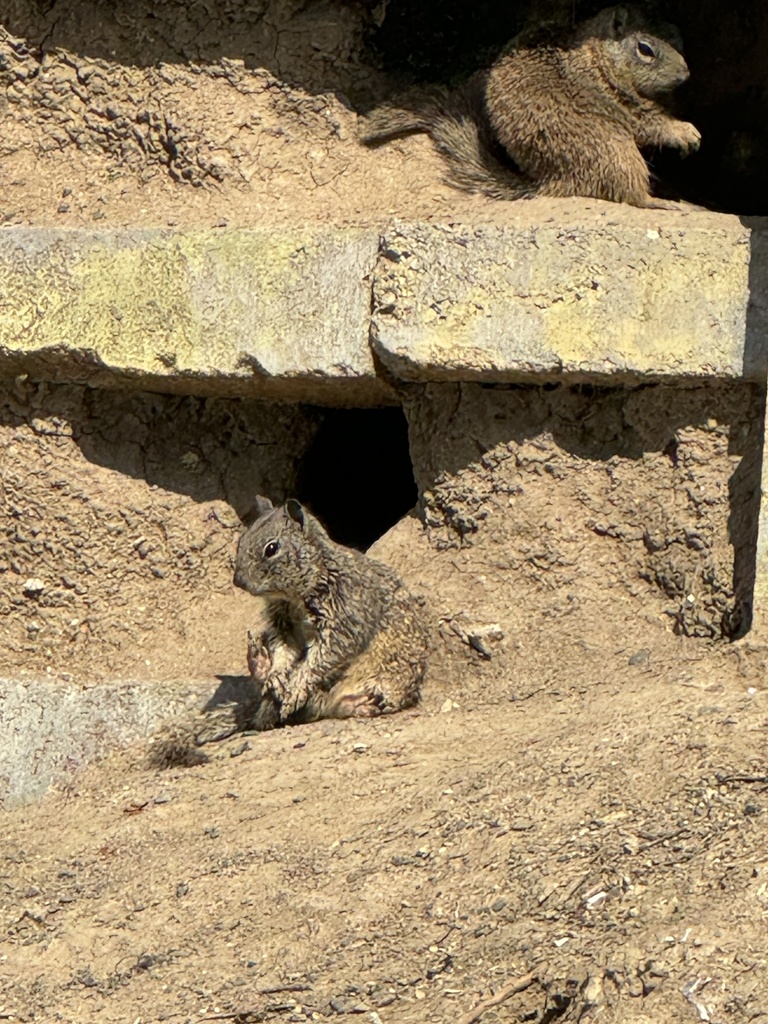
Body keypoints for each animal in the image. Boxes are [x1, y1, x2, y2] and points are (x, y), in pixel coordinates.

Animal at [359, 5, 701, 209]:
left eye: (678, 36)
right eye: (645, 49)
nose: (686, 74)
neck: (595, 57)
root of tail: (550, 183)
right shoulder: (618, 101)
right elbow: (649, 122)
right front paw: (686, 132)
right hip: (616, 153)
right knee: (627, 193)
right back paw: (659, 201)